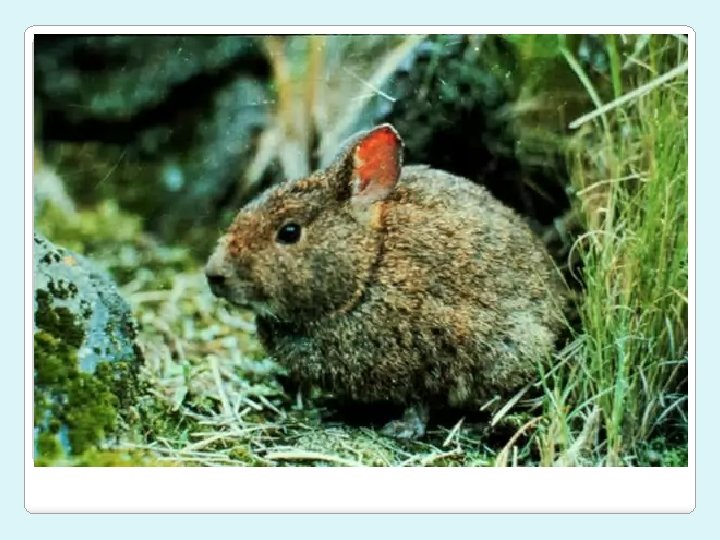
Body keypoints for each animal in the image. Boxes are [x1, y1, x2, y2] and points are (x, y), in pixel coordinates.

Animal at [205, 123, 567, 439]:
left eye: (289, 232)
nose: (213, 275)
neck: (367, 271)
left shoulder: (433, 352)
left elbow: (420, 401)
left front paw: (402, 429)